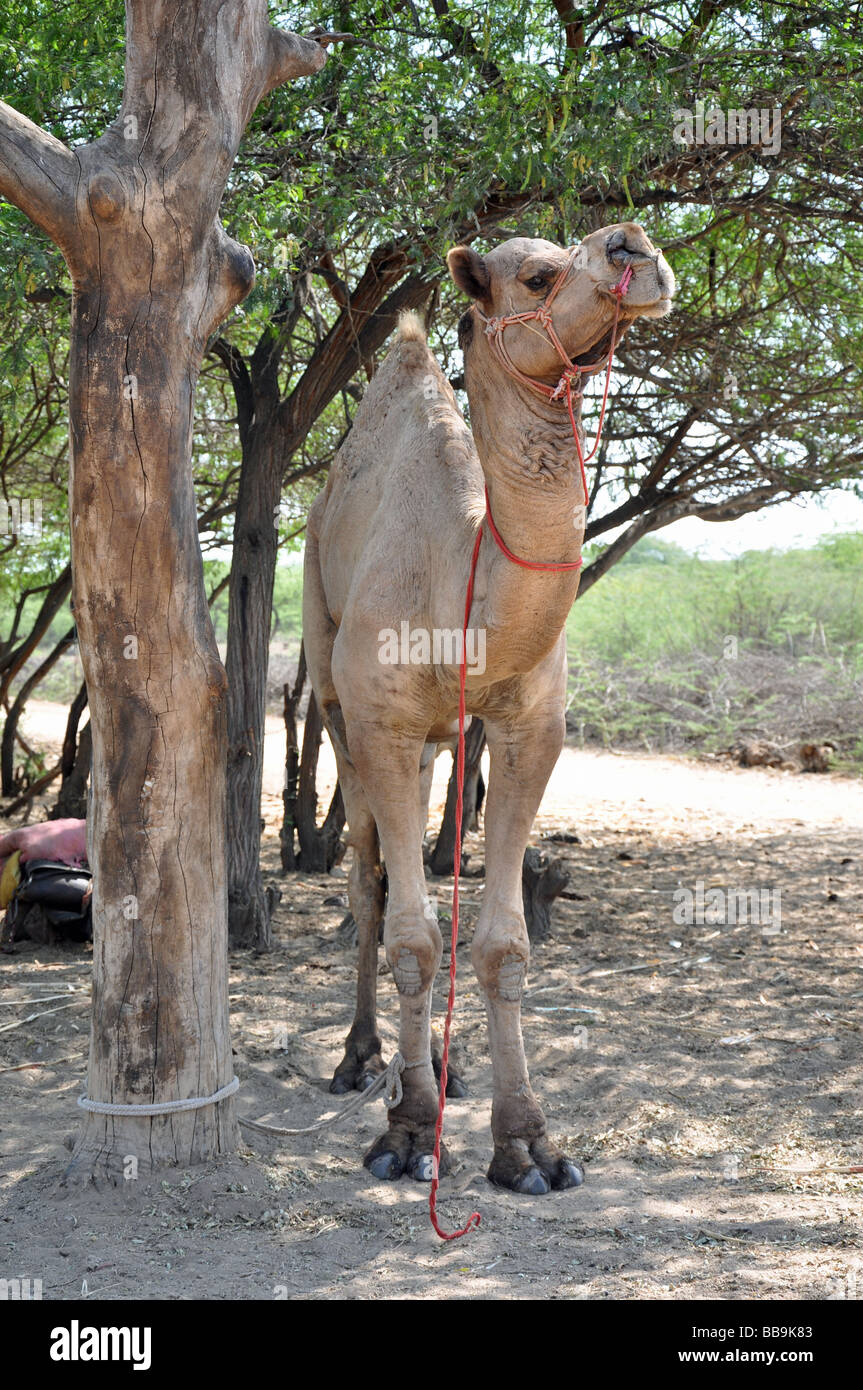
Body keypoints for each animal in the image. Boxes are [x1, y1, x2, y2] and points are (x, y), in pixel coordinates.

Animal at [302, 222, 675, 1194]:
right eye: (537, 276)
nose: (634, 246)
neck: (463, 577)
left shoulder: (528, 727)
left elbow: (503, 940)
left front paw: (527, 1147)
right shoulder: (383, 721)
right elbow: (411, 933)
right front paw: (403, 1133)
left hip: (440, 738)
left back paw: (442, 1065)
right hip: (332, 683)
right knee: (367, 878)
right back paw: (362, 1058)